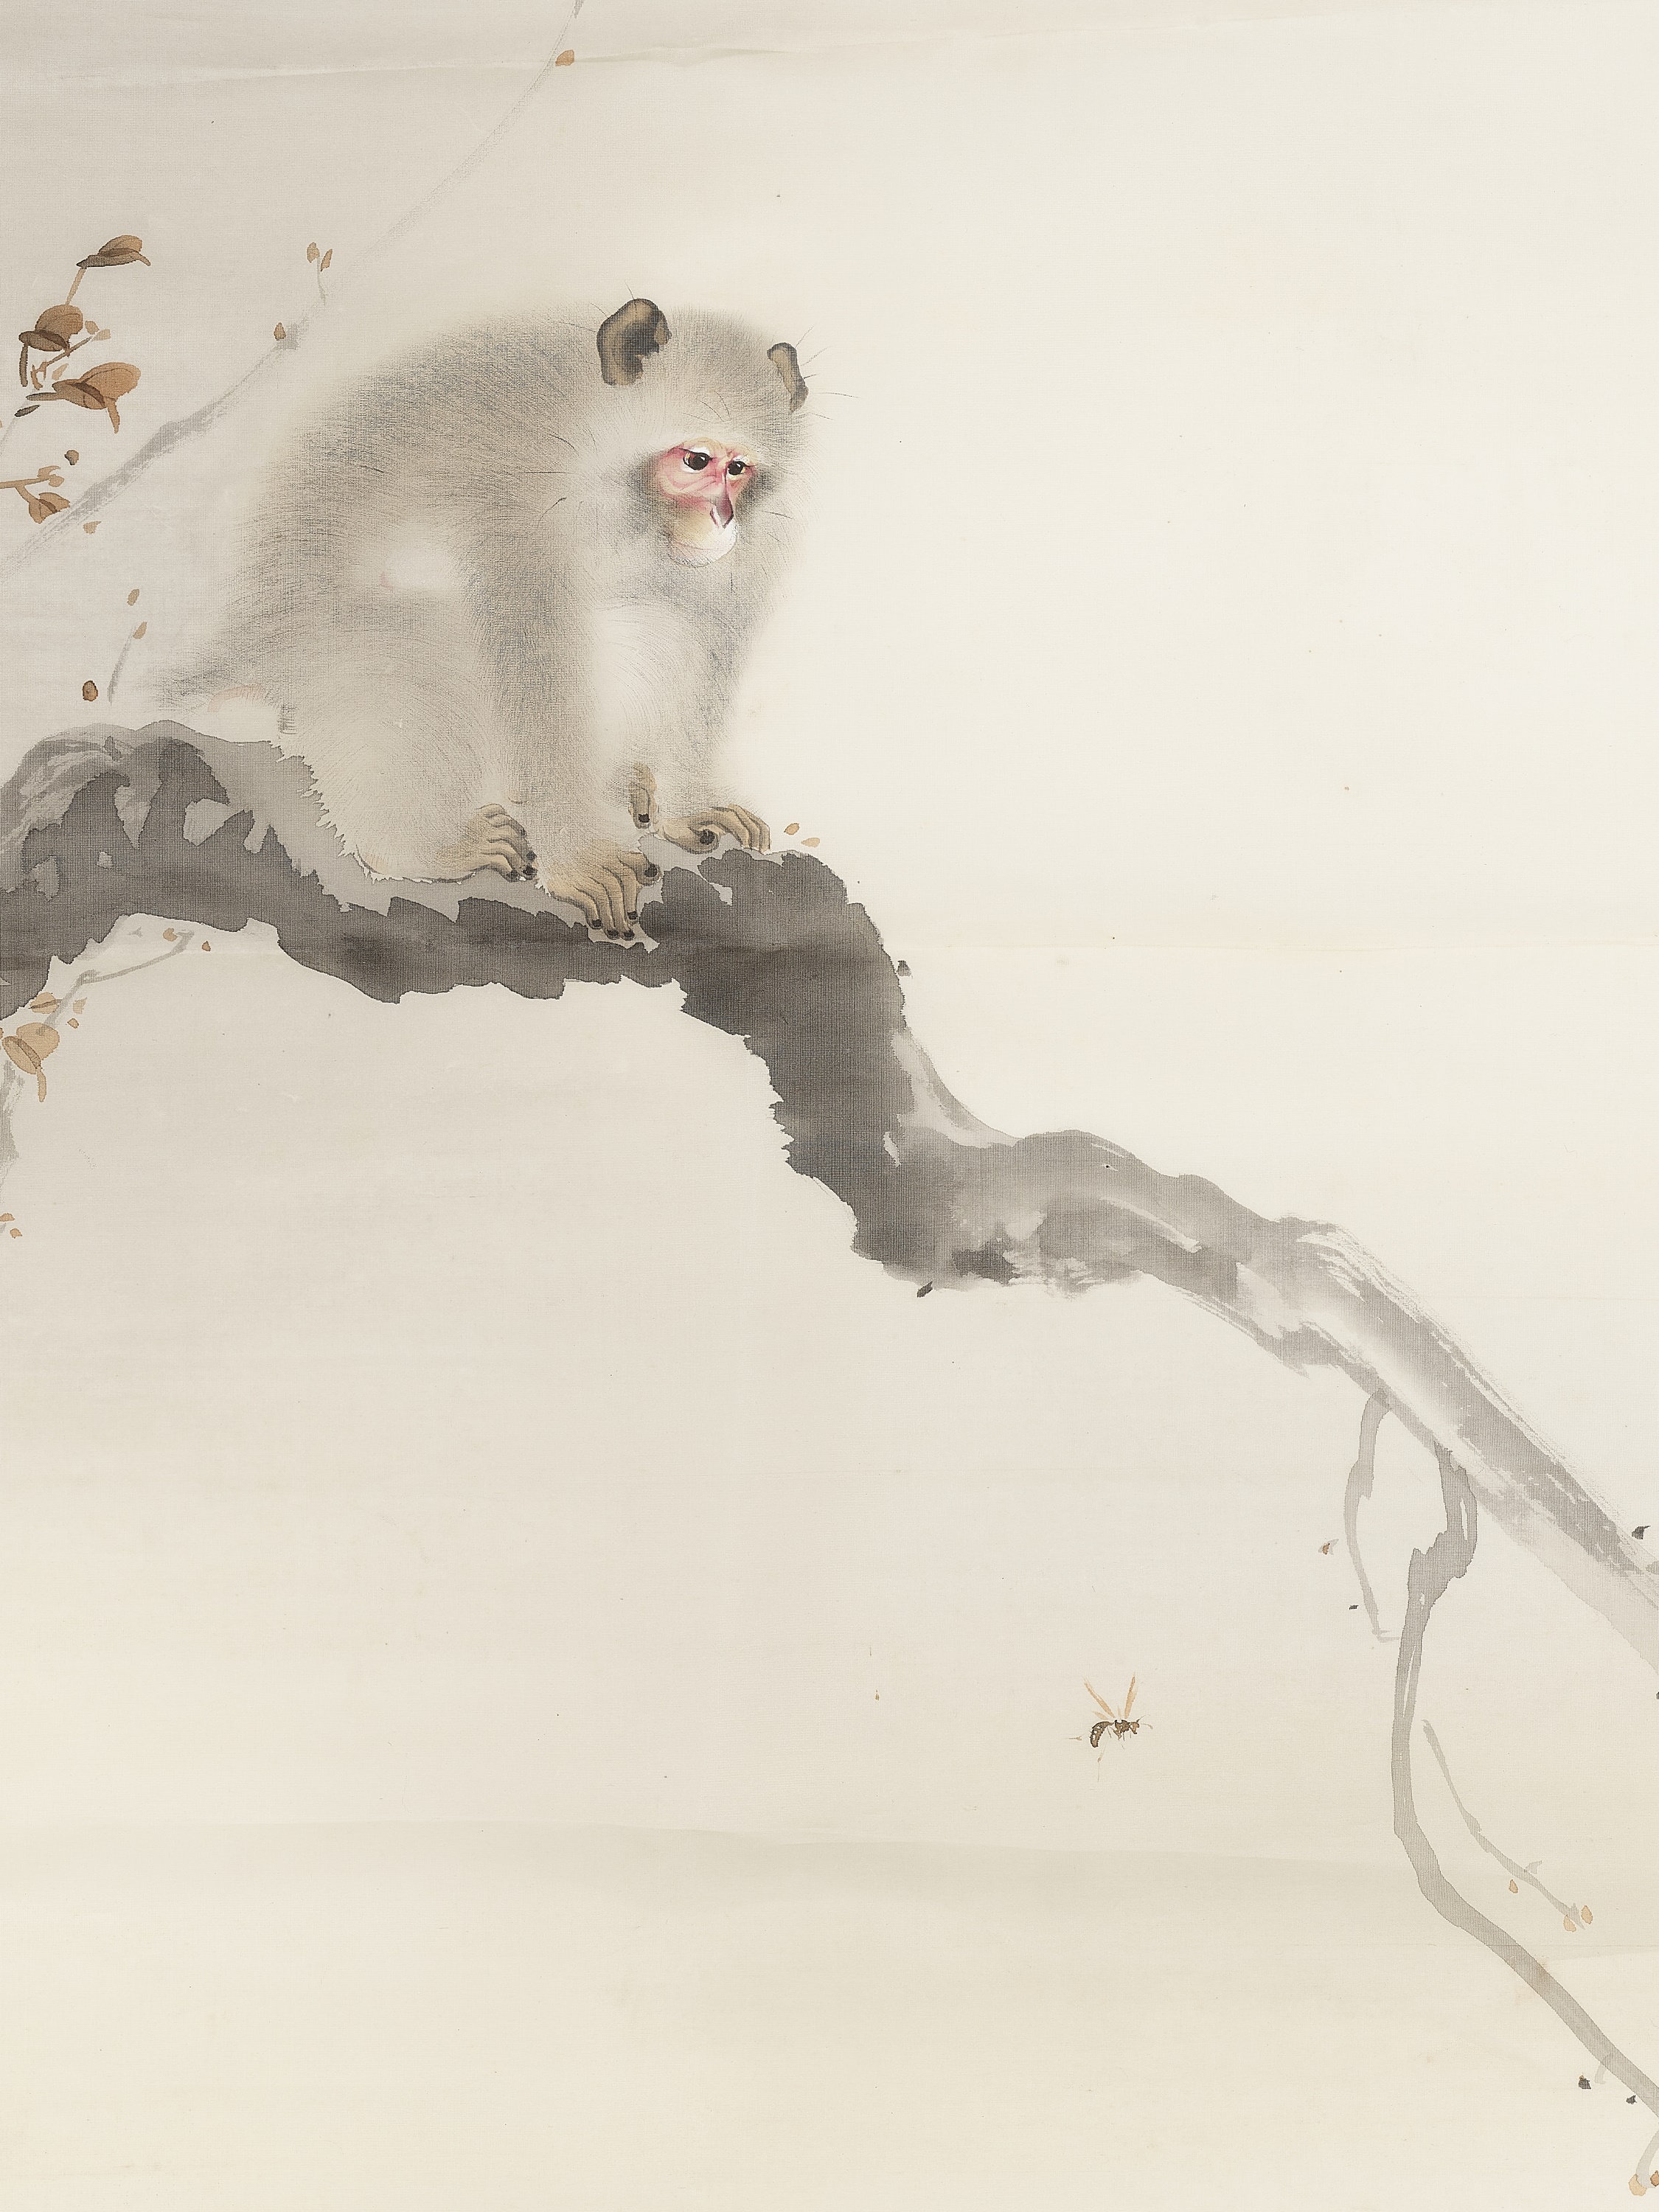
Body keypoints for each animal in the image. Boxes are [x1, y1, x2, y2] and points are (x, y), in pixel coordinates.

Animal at [171, 298, 809, 936]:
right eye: (696, 460)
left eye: (738, 470)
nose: (721, 521)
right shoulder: (525, 516)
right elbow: (533, 665)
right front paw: (582, 859)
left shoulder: (752, 551)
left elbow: (709, 636)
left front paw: (687, 803)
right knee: (428, 630)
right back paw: (417, 848)